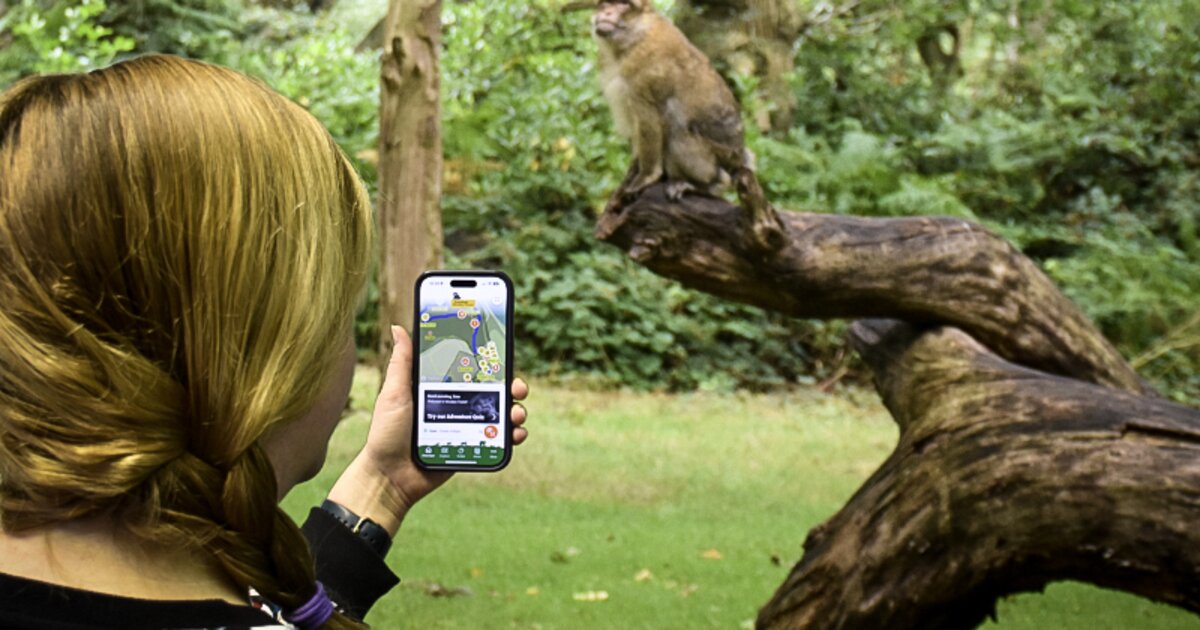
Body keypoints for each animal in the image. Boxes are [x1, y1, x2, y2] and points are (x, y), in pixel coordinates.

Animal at [592, 0, 783, 250]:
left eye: (622, 4)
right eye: (605, 3)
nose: (606, 12)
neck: (633, 37)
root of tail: (738, 157)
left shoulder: (645, 75)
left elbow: (648, 120)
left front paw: (646, 177)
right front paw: (630, 174)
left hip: (711, 158)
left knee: (678, 131)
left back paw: (705, 184)